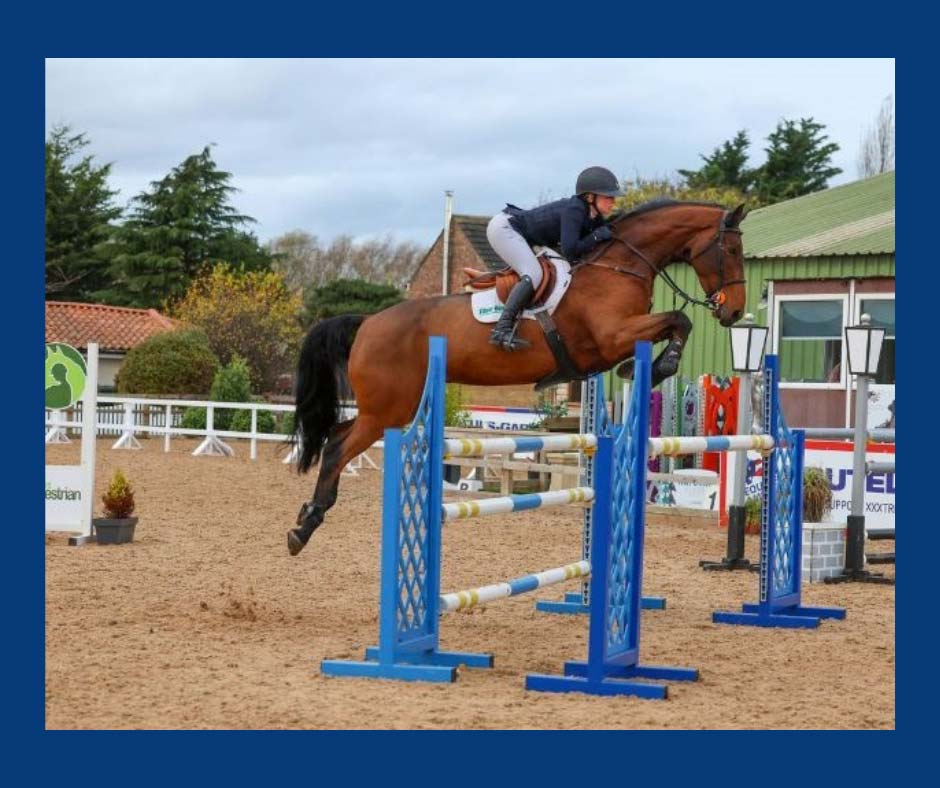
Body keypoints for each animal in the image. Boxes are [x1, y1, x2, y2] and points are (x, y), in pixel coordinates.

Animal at [287, 199, 748, 556]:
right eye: (731, 249)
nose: (735, 311)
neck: (621, 265)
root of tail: (367, 322)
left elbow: (675, 324)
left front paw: (642, 368)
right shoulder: (611, 336)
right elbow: (679, 319)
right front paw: (657, 366)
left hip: (389, 408)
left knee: (336, 434)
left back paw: (309, 517)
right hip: (388, 409)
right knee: (337, 447)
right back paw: (304, 527)